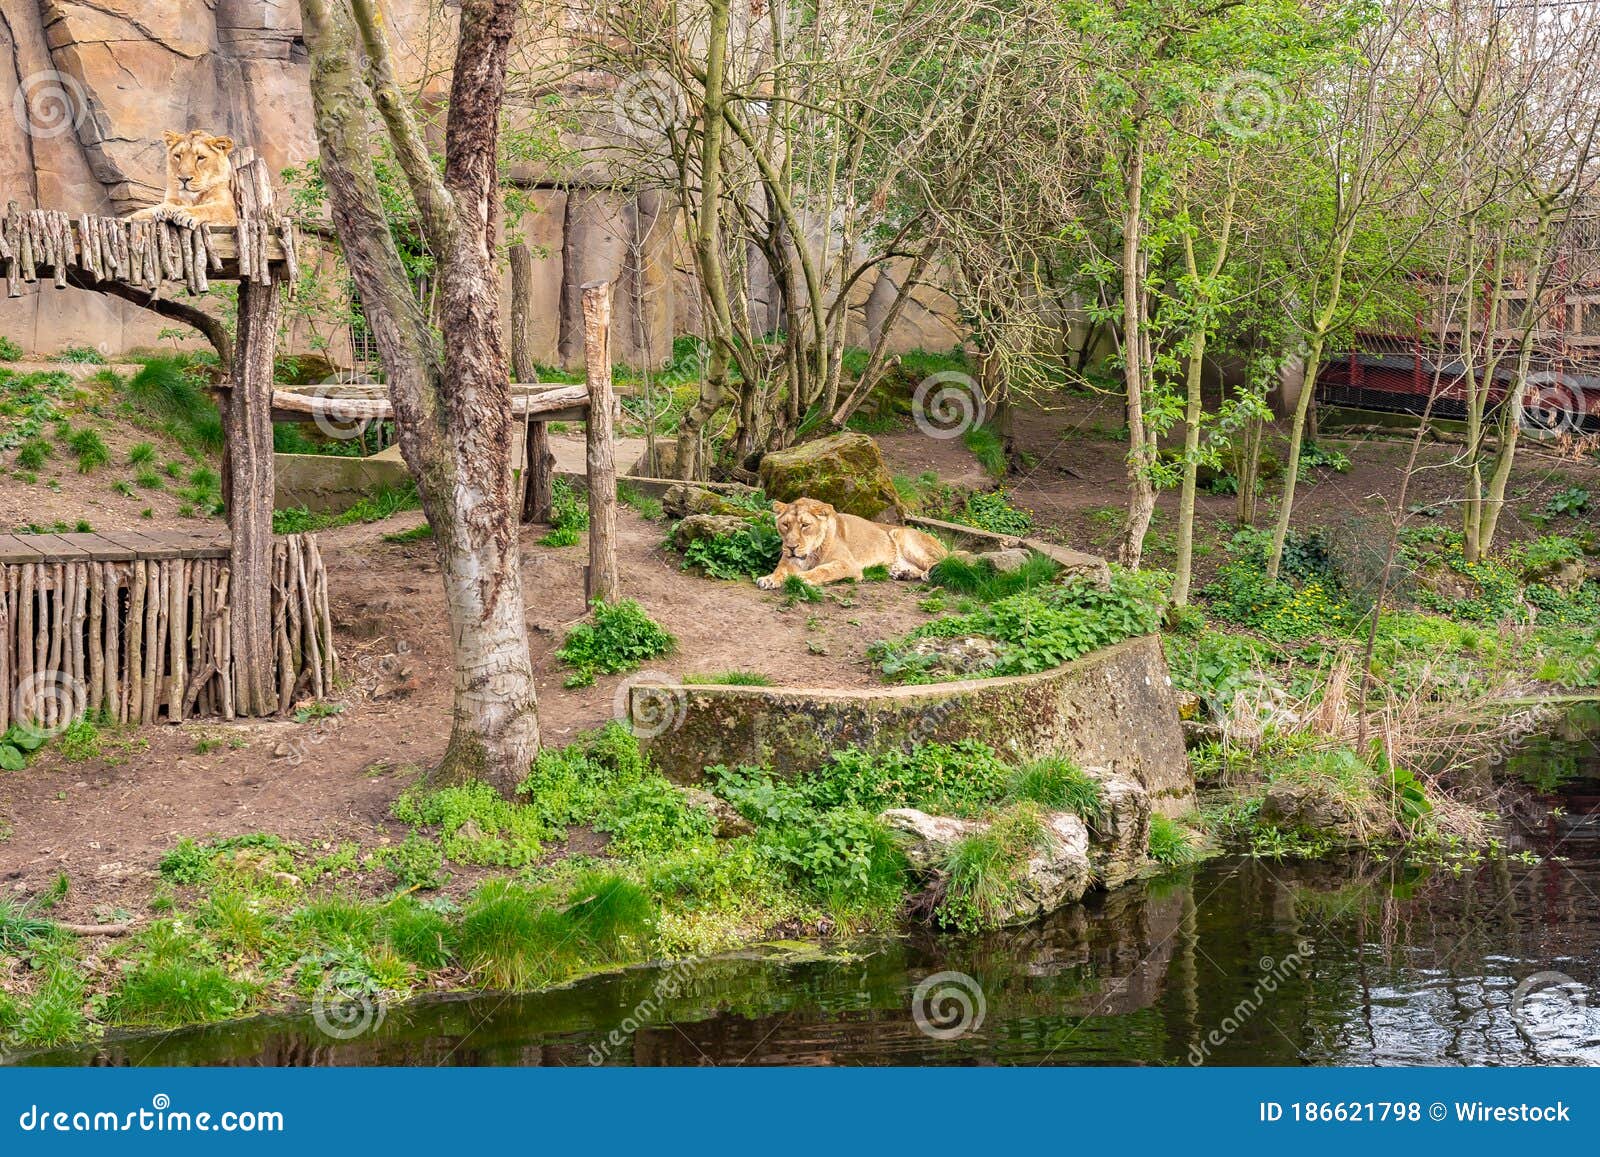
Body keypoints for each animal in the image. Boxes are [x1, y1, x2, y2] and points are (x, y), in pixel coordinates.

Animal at [757, 497, 948, 589]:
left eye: (805, 525)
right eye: (785, 525)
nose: (791, 547)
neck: (811, 553)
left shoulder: (848, 565)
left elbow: (823, 570)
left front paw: (801, 578)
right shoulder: (789, 561)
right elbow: (780, 570)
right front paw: (769, 579)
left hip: (901, 534)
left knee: (937, 562)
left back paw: (928, 574)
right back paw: (903, 574)